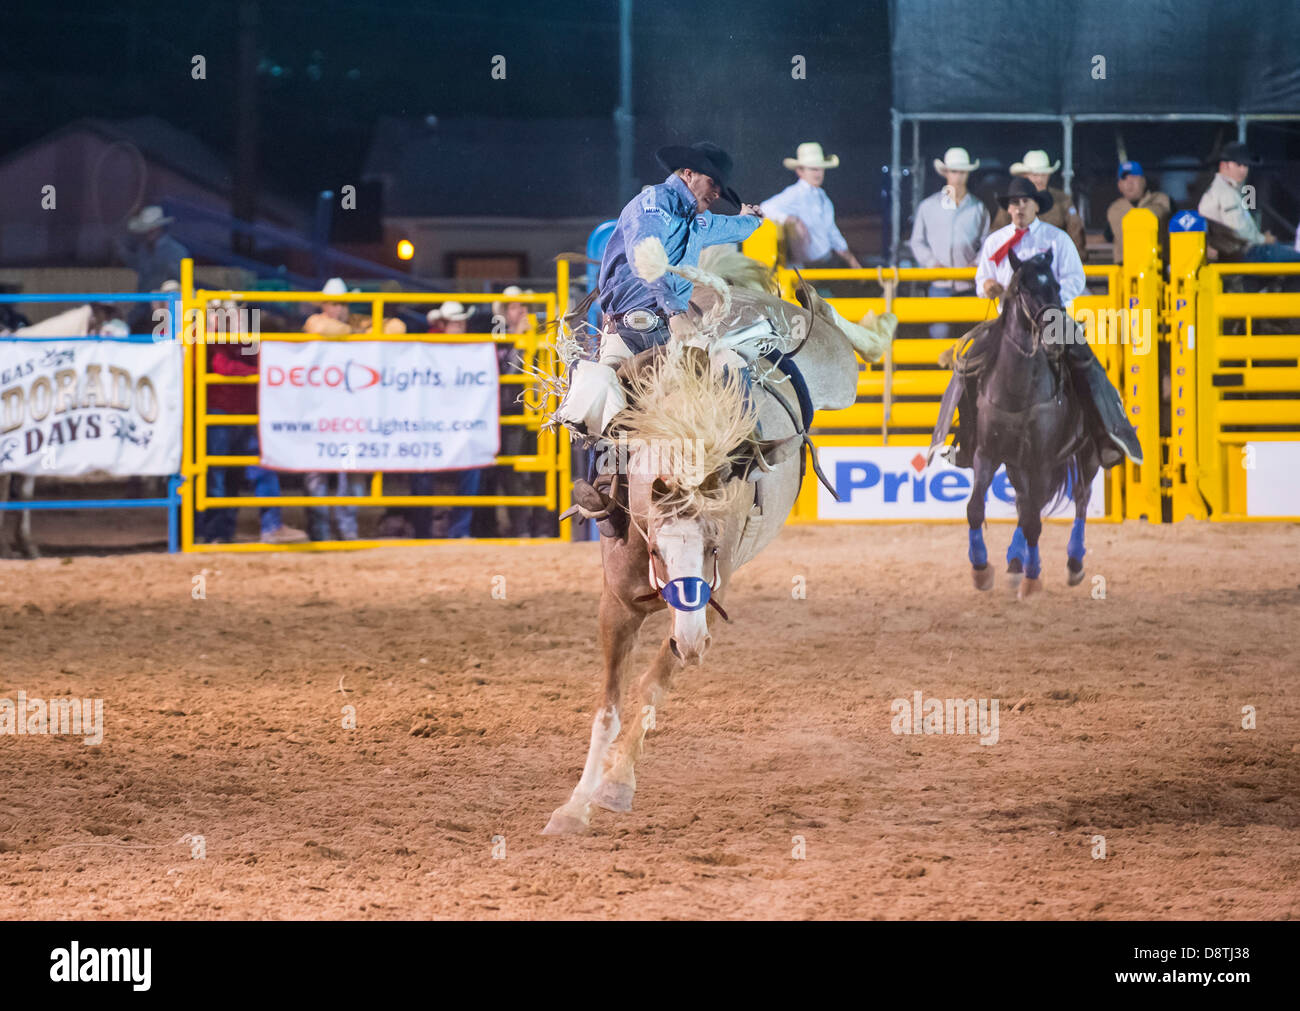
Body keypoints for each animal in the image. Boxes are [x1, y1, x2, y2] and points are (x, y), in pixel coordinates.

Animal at [542, 241, 897, 835]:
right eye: (655, 549)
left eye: (712, 548)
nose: (691, 641)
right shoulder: (617, 605)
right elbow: (609, 709)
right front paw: (573, 807)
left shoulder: (707, 603)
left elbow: (651, 688)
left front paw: (615, 787)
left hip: (835, 370)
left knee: (830, 325)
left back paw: (864, 318)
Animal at [937, 249, 1099, 601]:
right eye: (1024, 288)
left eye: (1056, 285)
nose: (1056, 336)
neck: (1017, 393)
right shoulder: (987, 453)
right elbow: (975, 509)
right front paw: (981, 569)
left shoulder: (1041, 460)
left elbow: (1034, 520)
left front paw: (1033, 578)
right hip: (1015, 463)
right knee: (1026, 503)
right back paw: (1014, 562)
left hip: (1086, 453)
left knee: (1079, 497)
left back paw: (1073, 563)